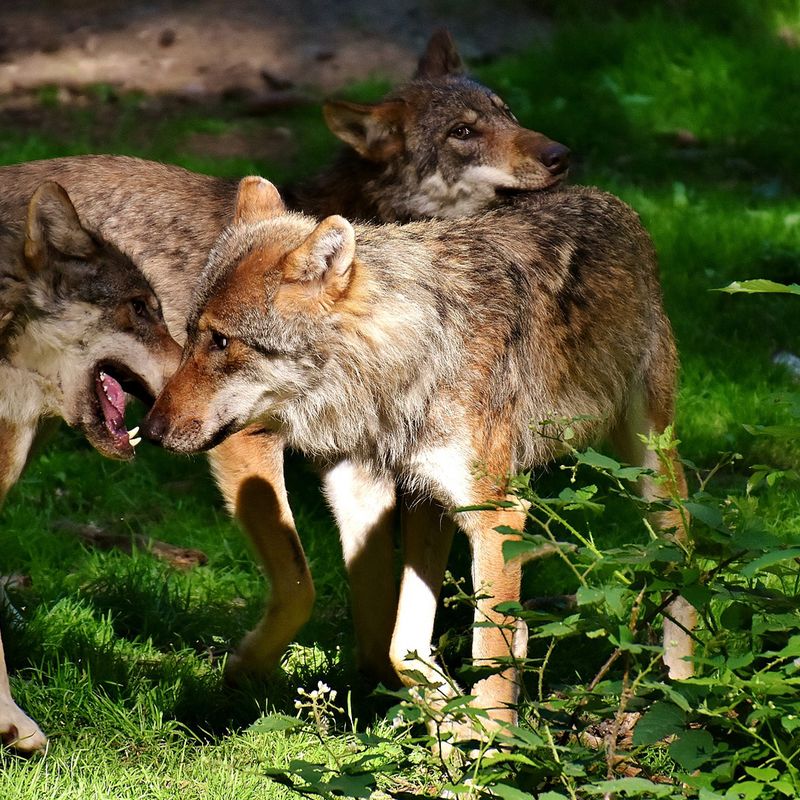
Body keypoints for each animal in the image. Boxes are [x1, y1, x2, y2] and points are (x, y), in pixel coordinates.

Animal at [143, 176, 694, 730]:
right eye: (189, 335)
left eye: (221, 341)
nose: (149, 430)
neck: (406, 361)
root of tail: (612, 201)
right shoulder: (374, 494)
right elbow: (397, 645)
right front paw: (452, 721)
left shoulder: (495, 515)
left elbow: (486, 660)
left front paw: (487, 745)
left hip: (648, 473)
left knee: (683, 560)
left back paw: (686, 690)